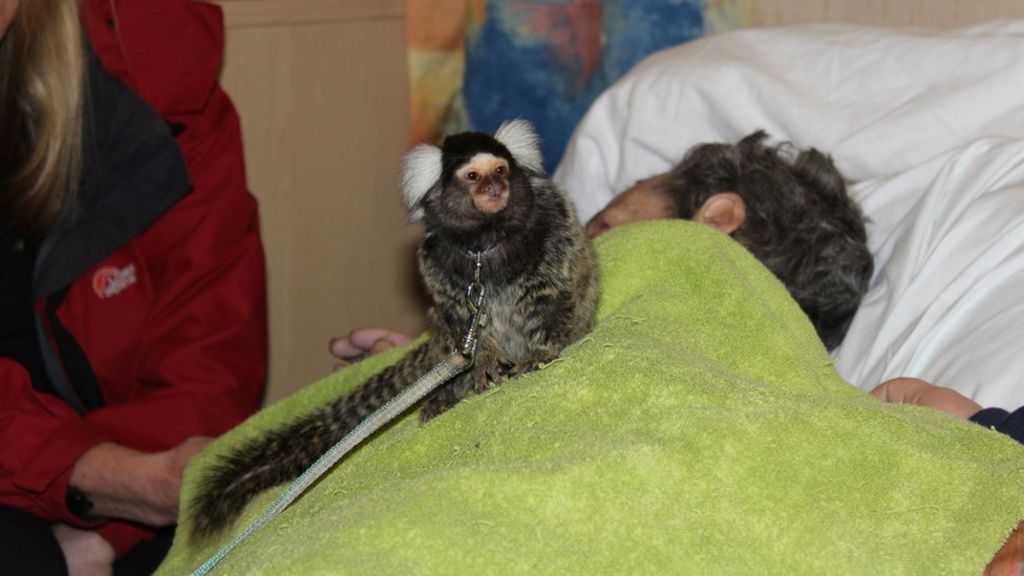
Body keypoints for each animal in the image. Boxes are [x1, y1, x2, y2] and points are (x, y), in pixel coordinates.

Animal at [188, 119, 598, 541]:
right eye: (473, 176)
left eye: (501, 170)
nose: (494, 189)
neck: (484, 244)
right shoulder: (436, 265)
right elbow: (460, 320)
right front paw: (482, 360)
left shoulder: (553, 230)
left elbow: (550, 298)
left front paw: (540, 351)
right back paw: (445, 396)